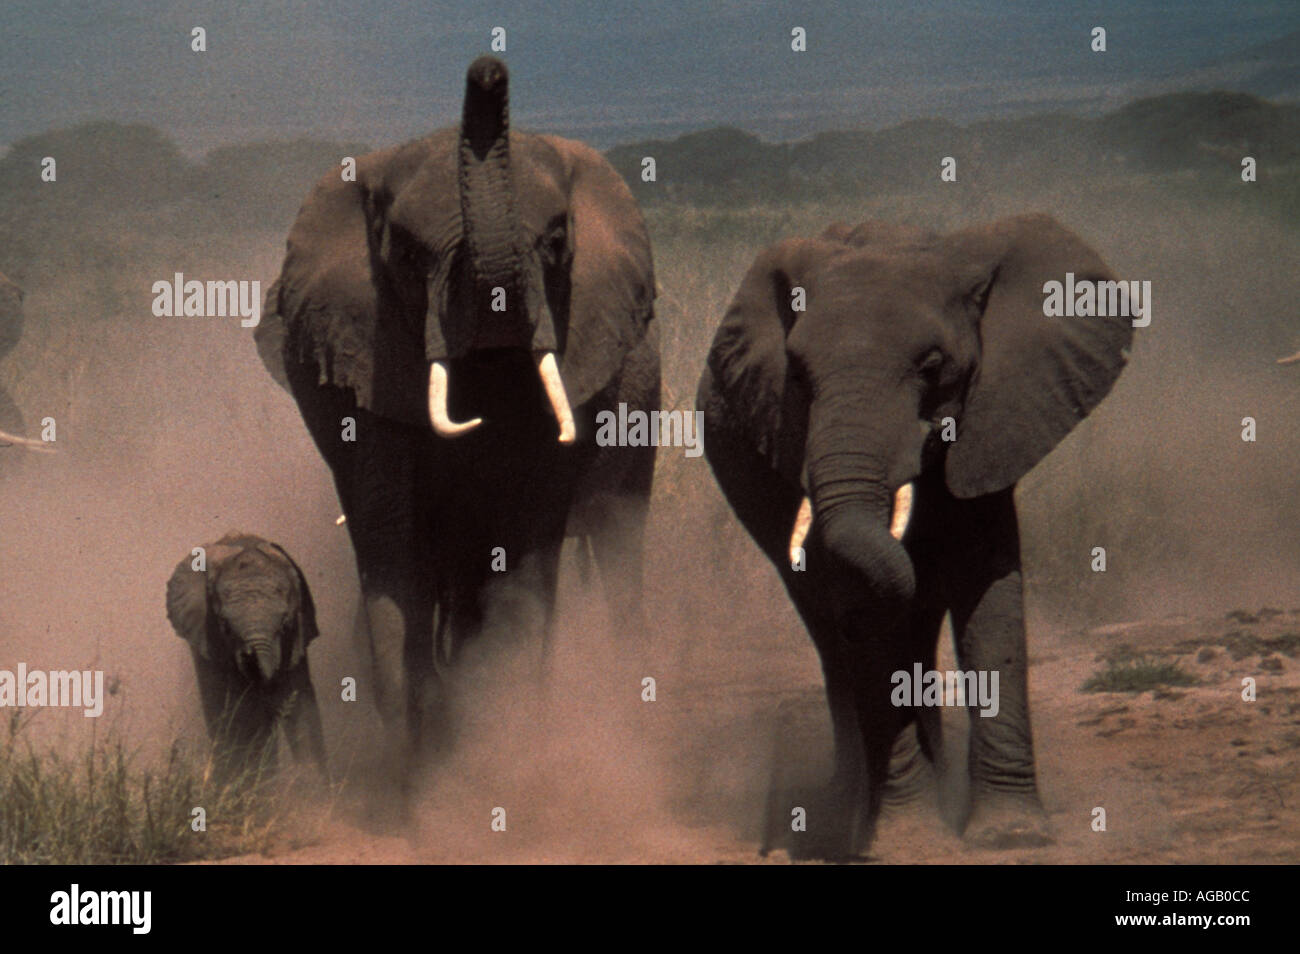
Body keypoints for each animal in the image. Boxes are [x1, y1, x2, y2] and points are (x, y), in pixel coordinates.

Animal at [166, 534, 328, 780]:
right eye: (225, 628)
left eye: (286, 624)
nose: (248, 653)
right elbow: (240, 715)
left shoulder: (297, 640)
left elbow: (300, 702)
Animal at [255, 56, 658, 778]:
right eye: (410, 256)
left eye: (557, 243)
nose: (489, 69)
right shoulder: (365, 356)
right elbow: (394, 544)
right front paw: (431, 757)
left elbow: (525, 538)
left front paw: (501, 741)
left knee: (618, 541)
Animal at [697, 214, 1133, 857]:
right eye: (796, 375)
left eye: (932, 366)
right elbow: (861, 611)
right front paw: (905, 839)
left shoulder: (996, 418)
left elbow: (988, 593)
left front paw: (1011, 835)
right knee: (830, 639)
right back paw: (843, 817)